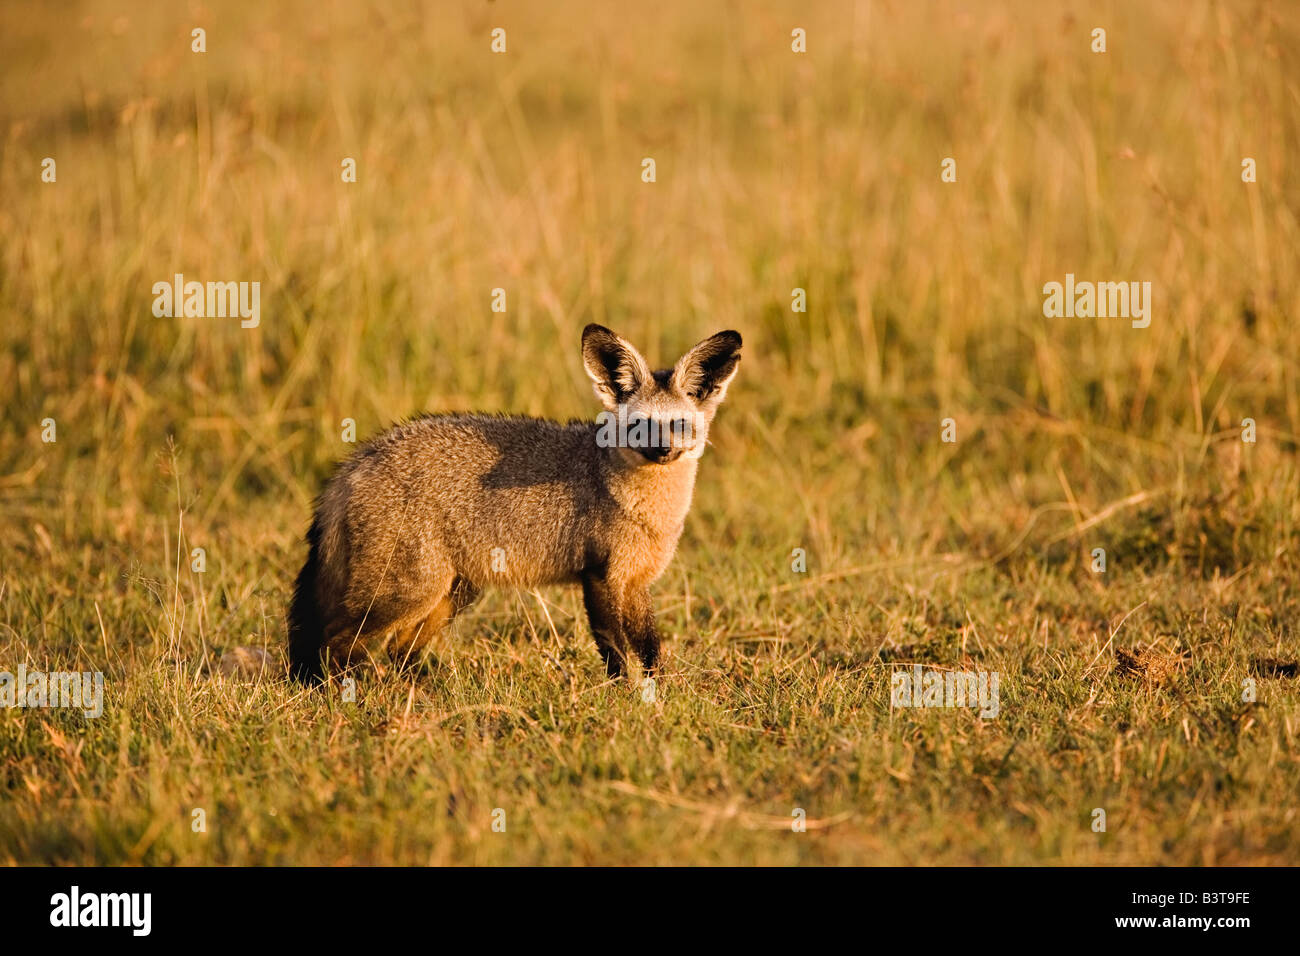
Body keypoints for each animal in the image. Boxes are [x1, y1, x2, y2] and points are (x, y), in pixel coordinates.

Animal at [287, 323, 742, 684]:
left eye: (678, 425)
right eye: (639, 425)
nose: (663, 451)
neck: (649, 512)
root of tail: (357, 459)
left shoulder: (635, 583)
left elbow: (650, 651)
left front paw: (658, 695)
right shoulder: (599, 577)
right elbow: (615, 652)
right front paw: (624, 698)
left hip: (451, 593)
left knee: (398, 650)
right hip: (405, 593)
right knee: (335, 641)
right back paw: (343, 694)